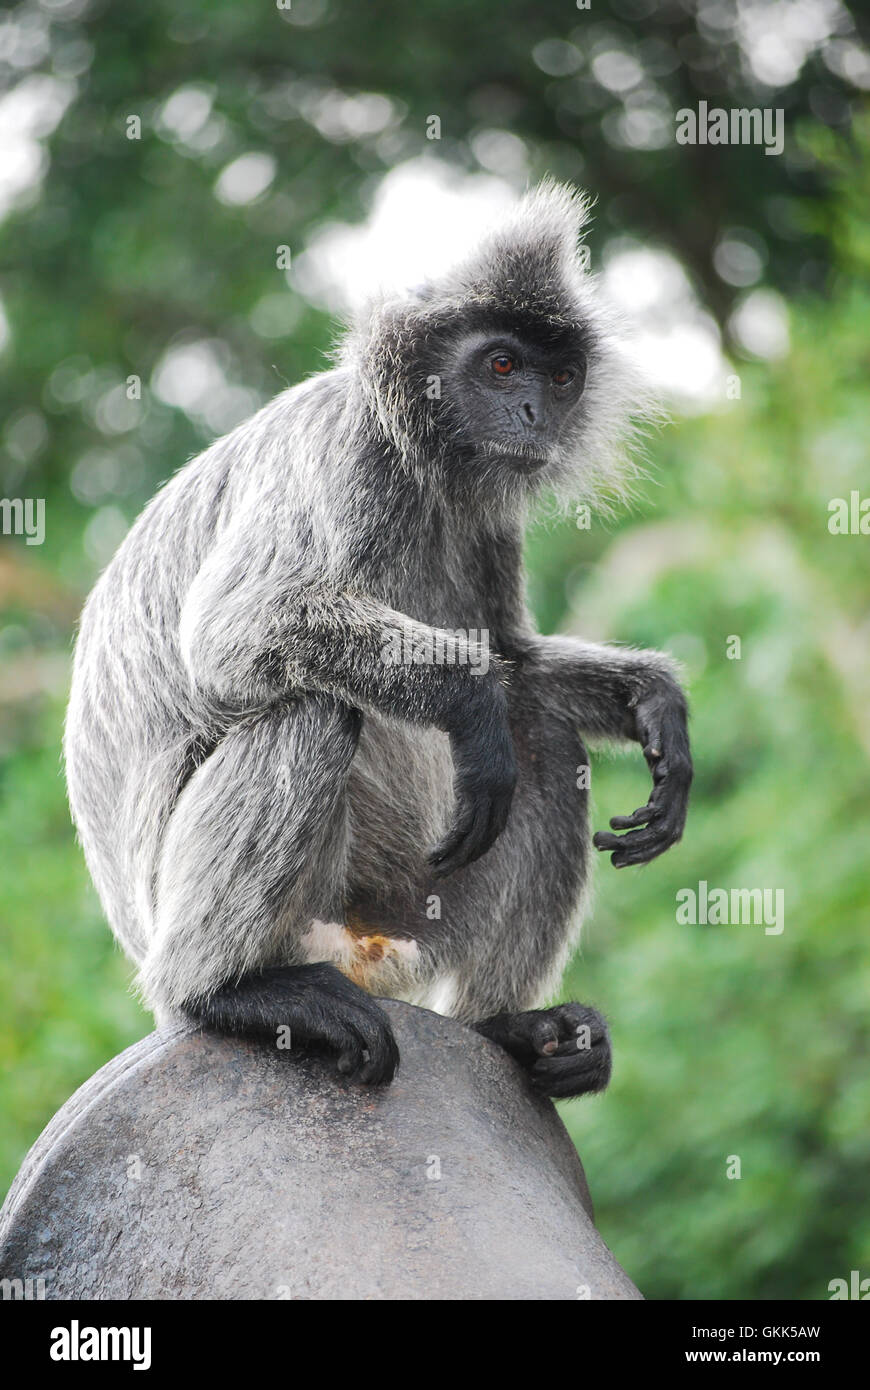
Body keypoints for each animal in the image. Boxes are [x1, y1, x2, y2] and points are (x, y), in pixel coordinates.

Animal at [64, 182, 692, 1099]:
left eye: (561, 377)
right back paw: (226, 991)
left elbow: (513, 657)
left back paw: (508, 1028)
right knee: (314, 708)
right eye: (501, 366)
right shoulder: (345, 454)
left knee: (542, 732)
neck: (425, 465)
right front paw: (470, 705)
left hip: (414, 902)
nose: (534, 414)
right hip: (263, 911)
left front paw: (655, 704)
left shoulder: (485, 518)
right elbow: (232, 631)